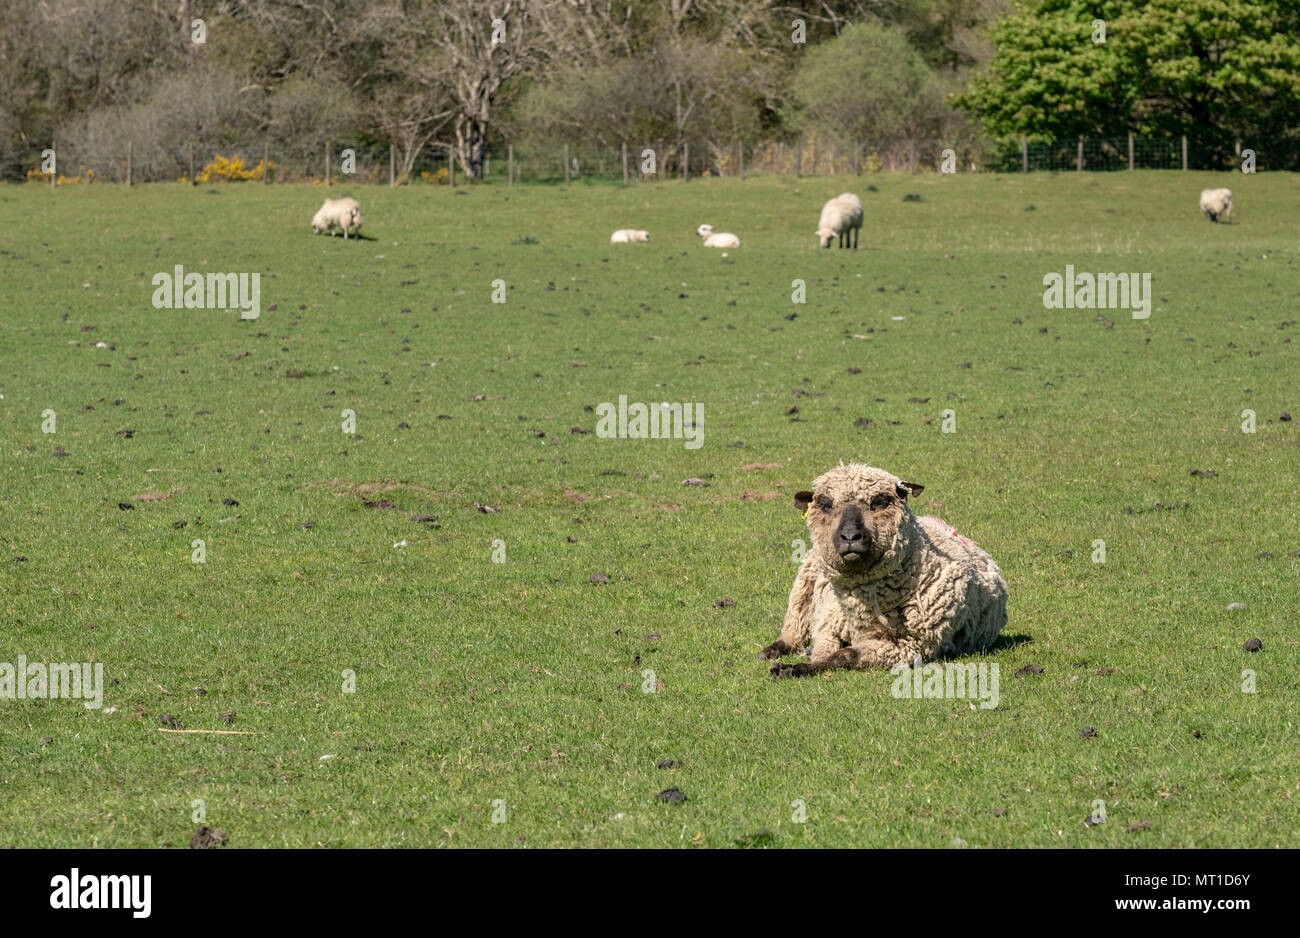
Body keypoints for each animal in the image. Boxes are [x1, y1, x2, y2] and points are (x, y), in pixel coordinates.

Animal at [761, 464, 1008, 676]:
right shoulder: (827, 627)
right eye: (826, 504)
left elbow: (845, 655)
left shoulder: (909, 646)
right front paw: (794, 665)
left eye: (880, 501)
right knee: (793, 632)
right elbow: (825, 650)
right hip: (802, 591)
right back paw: (770, 651)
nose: (850, 537)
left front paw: (794, 669)